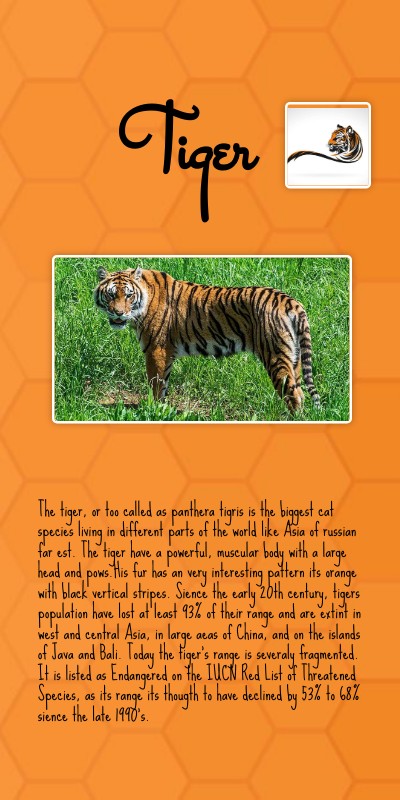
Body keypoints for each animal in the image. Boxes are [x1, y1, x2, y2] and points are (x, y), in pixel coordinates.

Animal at [94, 265, 321, 414]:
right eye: (111, 295)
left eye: (129, 295)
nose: (118, 313)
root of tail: (289, 301)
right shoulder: (167, 353)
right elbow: (164, 383)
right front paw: (163, 410)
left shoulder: (155, 350)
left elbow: (156, 384)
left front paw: (152, 410)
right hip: (294, 357)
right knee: (299, 391)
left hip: (275, 355)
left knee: (294, 395)